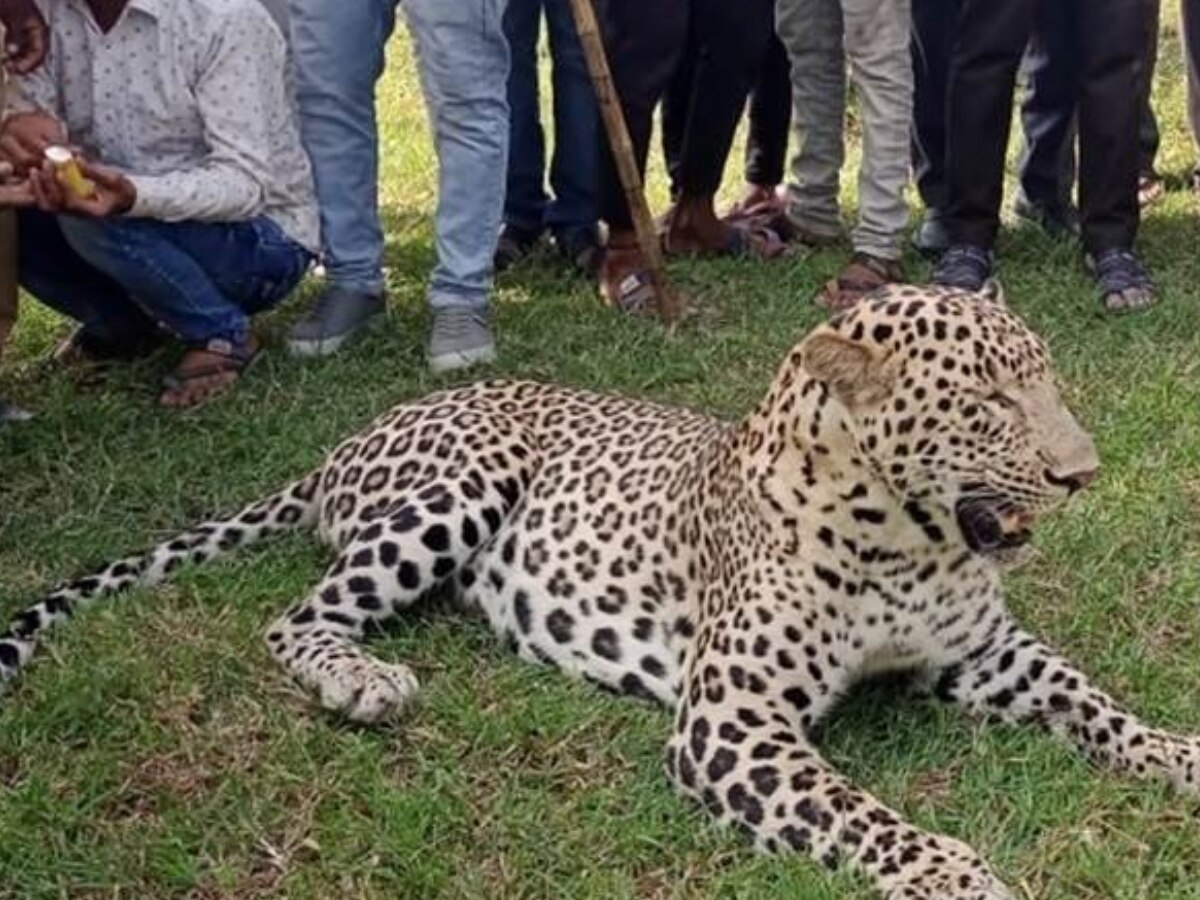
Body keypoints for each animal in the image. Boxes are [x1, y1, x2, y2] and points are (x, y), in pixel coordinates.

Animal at [1, 284, 1196, 899]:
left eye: (1046, 379)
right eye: (989, 402)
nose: (1085, 473)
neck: (904, 535)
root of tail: (355, 435)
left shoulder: (984, 653)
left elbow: (1098, 705)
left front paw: (1182, 756)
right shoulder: (732, 724)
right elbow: (858, 814)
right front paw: (953, 872)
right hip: (456, 484)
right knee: (297, 615)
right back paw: (365, 681)